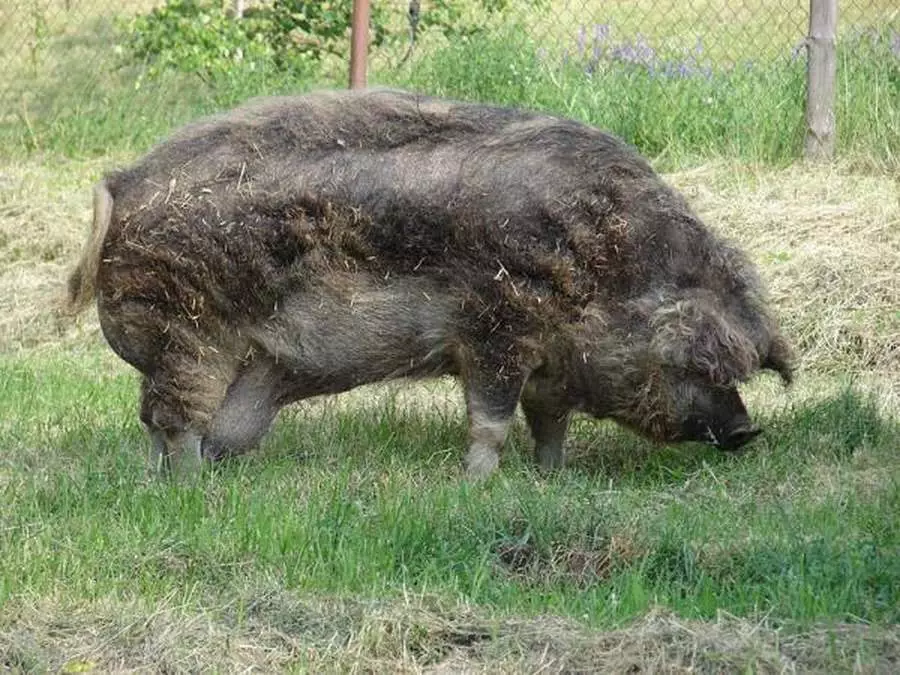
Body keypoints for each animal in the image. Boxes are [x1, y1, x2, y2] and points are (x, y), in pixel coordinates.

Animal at [67, 90, 792, 478]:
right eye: (695, 365)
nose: (746, 430)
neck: (603, 270)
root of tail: (120, 185)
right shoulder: (494, 331)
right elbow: (490, 419)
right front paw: (477, 484)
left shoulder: (550, 366)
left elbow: (548, 422)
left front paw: (552, 475)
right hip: (189, 333)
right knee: (176, 420)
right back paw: (192, 486)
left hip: (215, 360)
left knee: (160, 421)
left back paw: (159, 481)